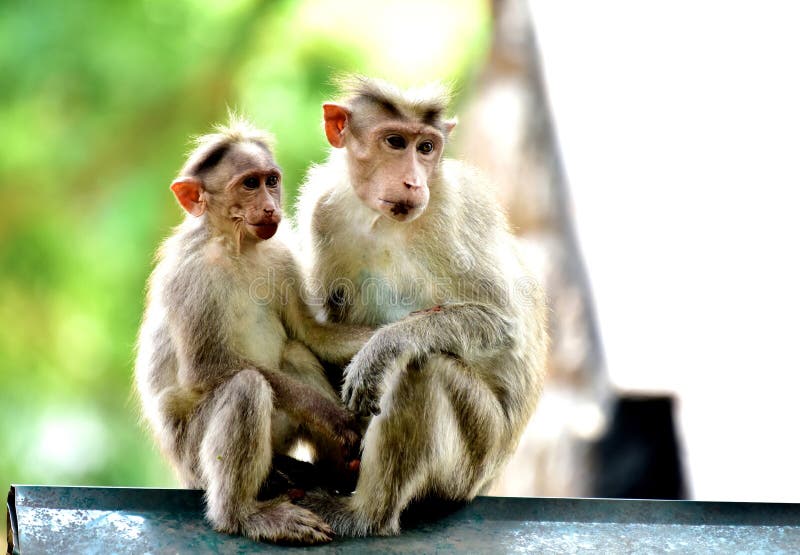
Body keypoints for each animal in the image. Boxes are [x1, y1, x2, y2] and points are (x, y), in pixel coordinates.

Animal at [134, 117, 372, 544]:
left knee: (294, 352)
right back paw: (242, 515)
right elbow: (207, 370)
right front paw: (327, 412)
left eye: (271, 180)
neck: (236, 247)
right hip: (193, 459)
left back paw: (338, 471)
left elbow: (311, 334)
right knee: (246, 386)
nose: (270, 206)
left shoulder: (281, 254)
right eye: (248, 184)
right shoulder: (190, 276)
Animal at [293, 76, 549, 536]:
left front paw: (382, 348)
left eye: (426, 147)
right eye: (395, 142)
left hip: (474, 457)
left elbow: (502, 323)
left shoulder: (450, 214)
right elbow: (322, 327)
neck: (381, 221)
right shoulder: (321, 209)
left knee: (423, 368)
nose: (414, 182)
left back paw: (366, 514)